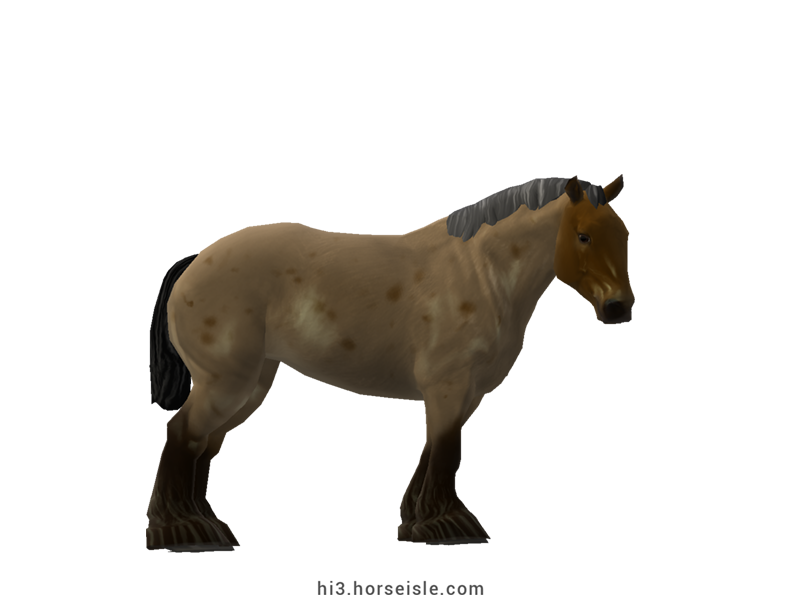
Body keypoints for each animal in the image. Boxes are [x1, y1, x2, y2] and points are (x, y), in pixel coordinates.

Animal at [147, 176, 634, 546]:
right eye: (583, 234)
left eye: (624, 232)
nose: (618, 307)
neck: (486, 271)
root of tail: (196, 263)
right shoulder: (448, 384)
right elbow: (447, 450)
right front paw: (446, 521)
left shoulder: (465, 391)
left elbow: (434, 448)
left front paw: (418, 518)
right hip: (224, 382)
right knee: (183, 434)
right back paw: (183, 528)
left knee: (197, 442)